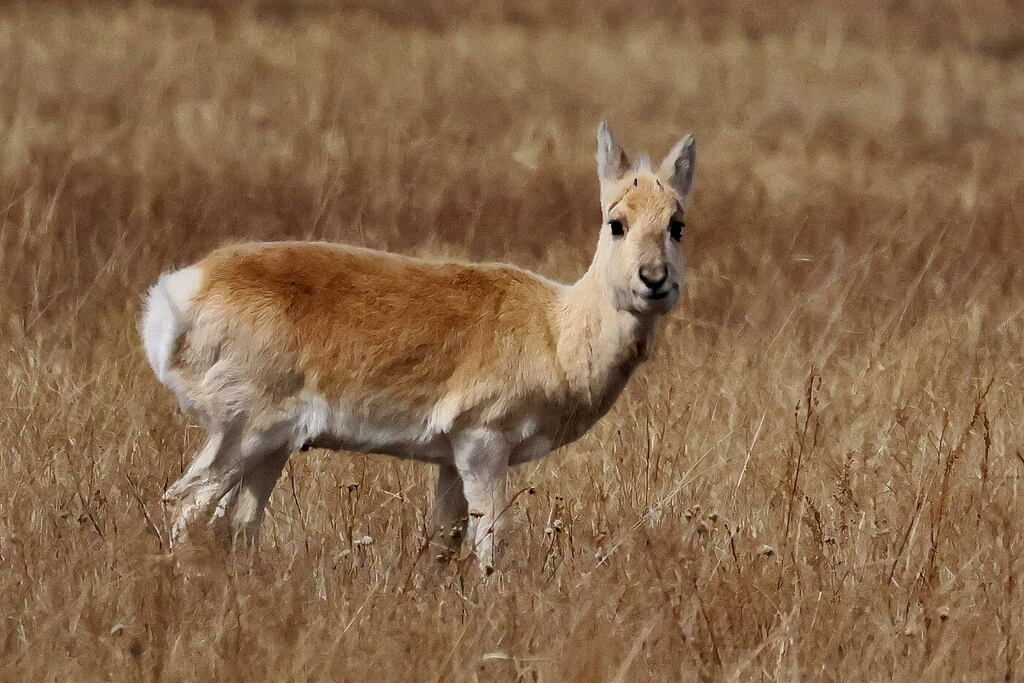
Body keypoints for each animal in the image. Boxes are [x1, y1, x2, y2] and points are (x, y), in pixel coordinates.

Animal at [141, 122, 696, 571]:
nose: (654, 280)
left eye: (677, 223)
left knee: (237, 524)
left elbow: (442, 541)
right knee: (185, 502)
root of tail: (181, 289)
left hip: (272, 447)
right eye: (616, 221)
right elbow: (491, 540)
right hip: (243, 435)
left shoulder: (450, 461)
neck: (553, 326)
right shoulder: (483, 443)